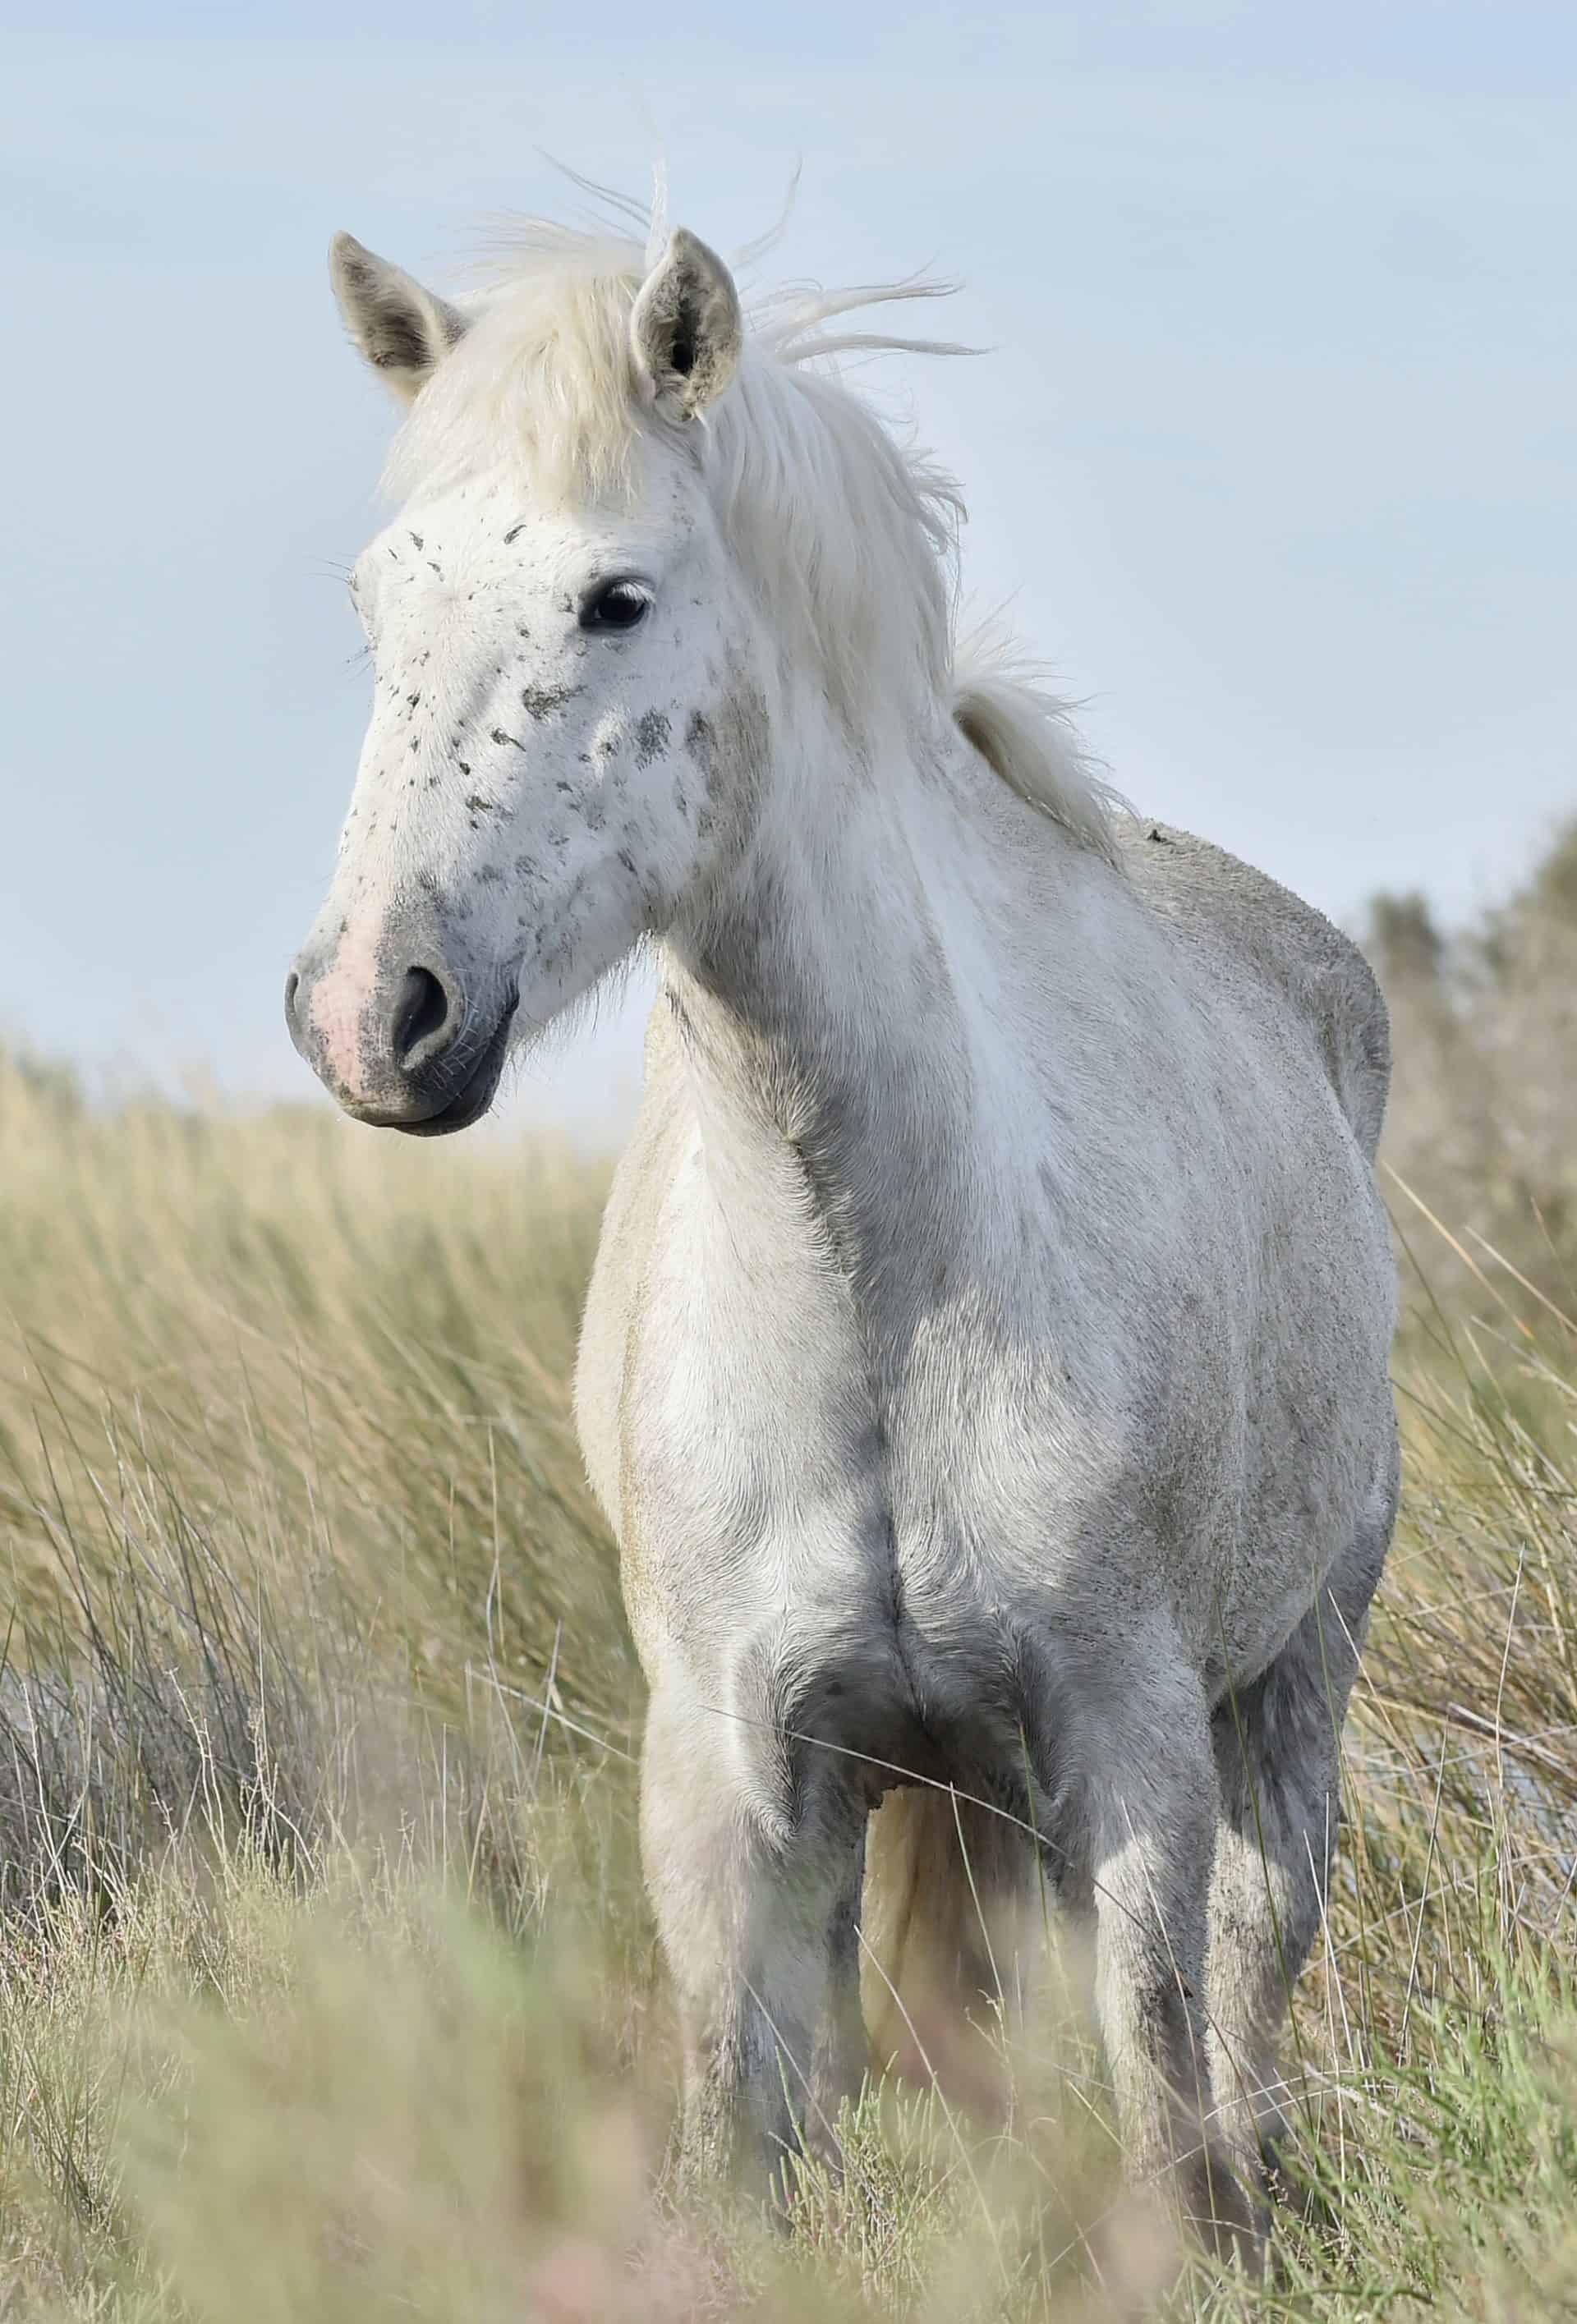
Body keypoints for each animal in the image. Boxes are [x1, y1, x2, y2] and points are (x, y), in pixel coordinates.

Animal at [286, 207, 1399, 2247]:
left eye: (617, 598)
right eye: (379, 601)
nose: (369, 1015)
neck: (881, 1269)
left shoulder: (1130, 1744)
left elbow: (1158, 2075)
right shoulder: (736, 1783)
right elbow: (749, 2125)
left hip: (1291, 1671)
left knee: (1257, 1959)